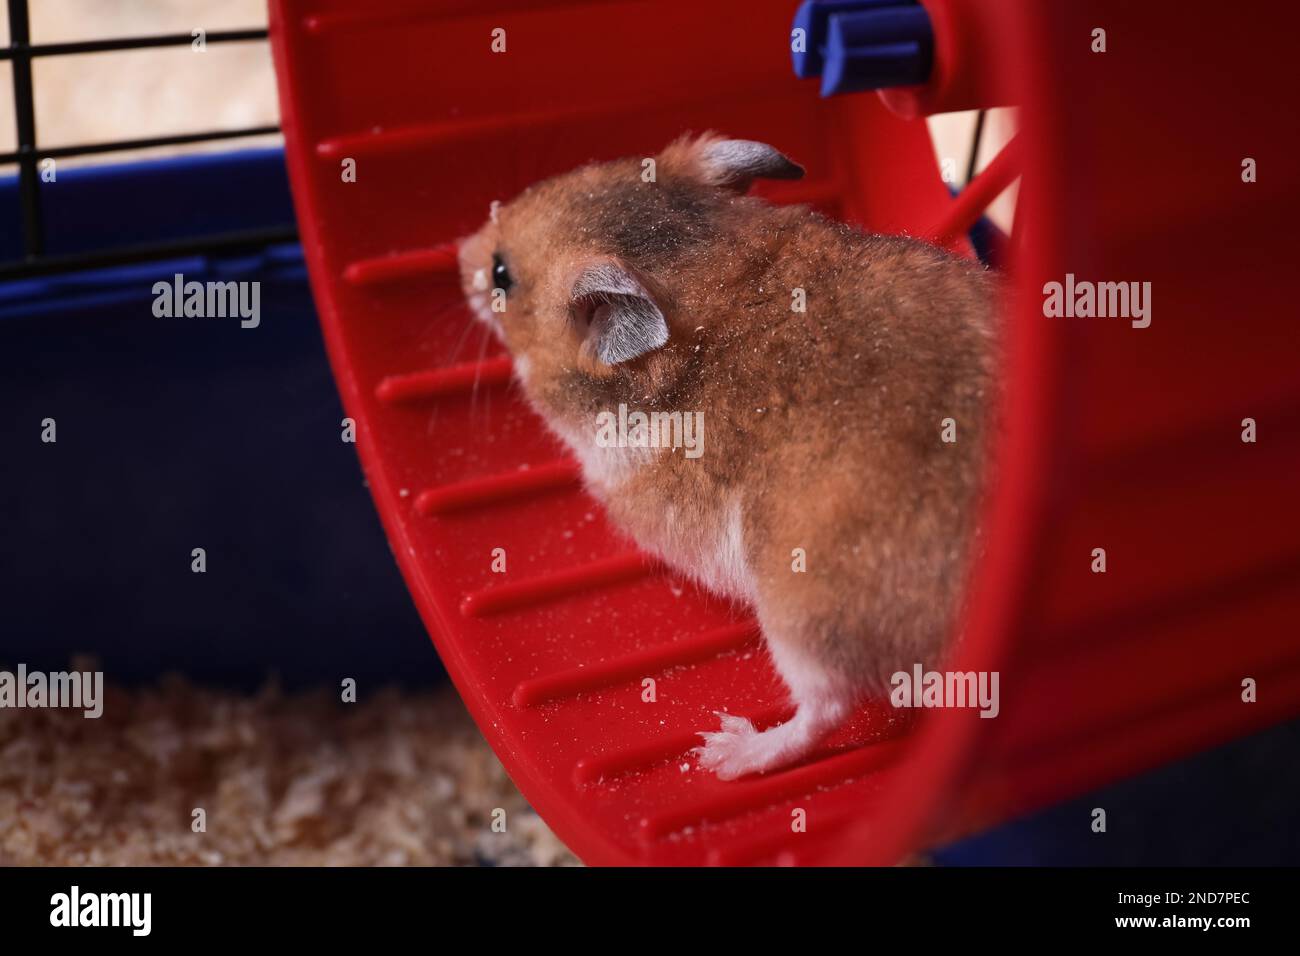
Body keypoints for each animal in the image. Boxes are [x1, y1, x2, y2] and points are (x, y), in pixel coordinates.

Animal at [458, 133, 997, 779]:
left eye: (501, 274)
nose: (457, 254)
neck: (720, 276)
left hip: (801, 613)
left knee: (826, 710)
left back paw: (724, 753)